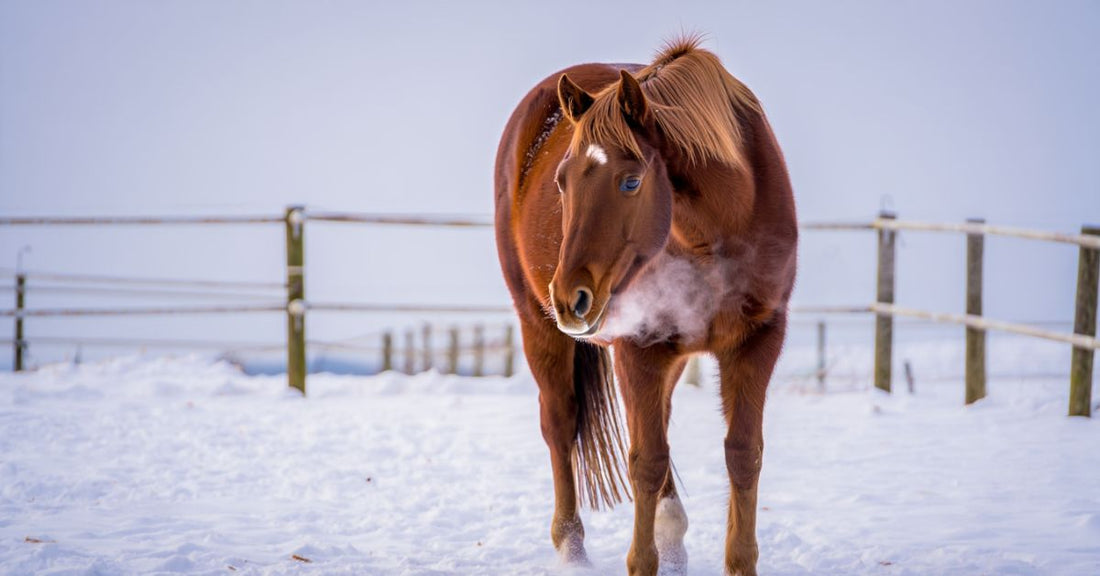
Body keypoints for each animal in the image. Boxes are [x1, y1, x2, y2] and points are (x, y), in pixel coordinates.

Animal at [493, 36, 797, 576]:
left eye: (630, 181)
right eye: (561, 182)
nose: (569, 296)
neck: (713, 233)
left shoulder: (758, 340)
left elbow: (744, 454)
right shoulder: (638, 345)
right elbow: (646, 462)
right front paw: (642, 559)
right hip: (538, 325)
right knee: (560, 424)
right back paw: (572, 552)